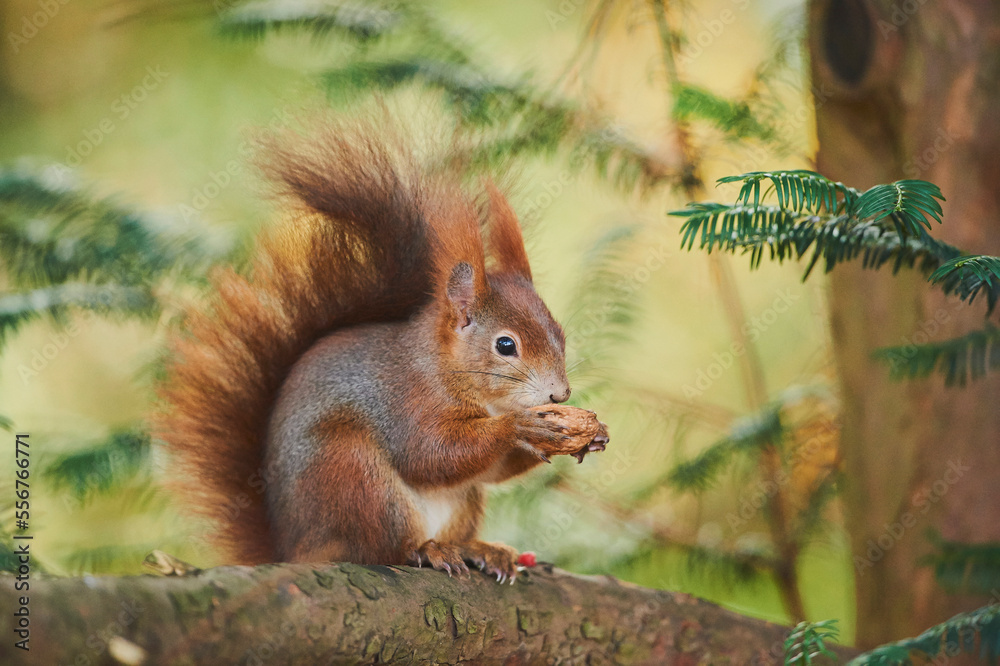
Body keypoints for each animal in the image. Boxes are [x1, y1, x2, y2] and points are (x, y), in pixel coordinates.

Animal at [156, 118, 607, 583]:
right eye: (505, 345)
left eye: (561, 335)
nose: (560, 395)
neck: (446, 369)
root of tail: (296, 549)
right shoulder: (405, 401)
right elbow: (430, 454)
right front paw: (520, 427)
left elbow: (491, 469)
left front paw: (591, 434)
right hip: (353, 473)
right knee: (382, 548)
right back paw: (427, 550)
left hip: (458, 501)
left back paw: (479, 550)